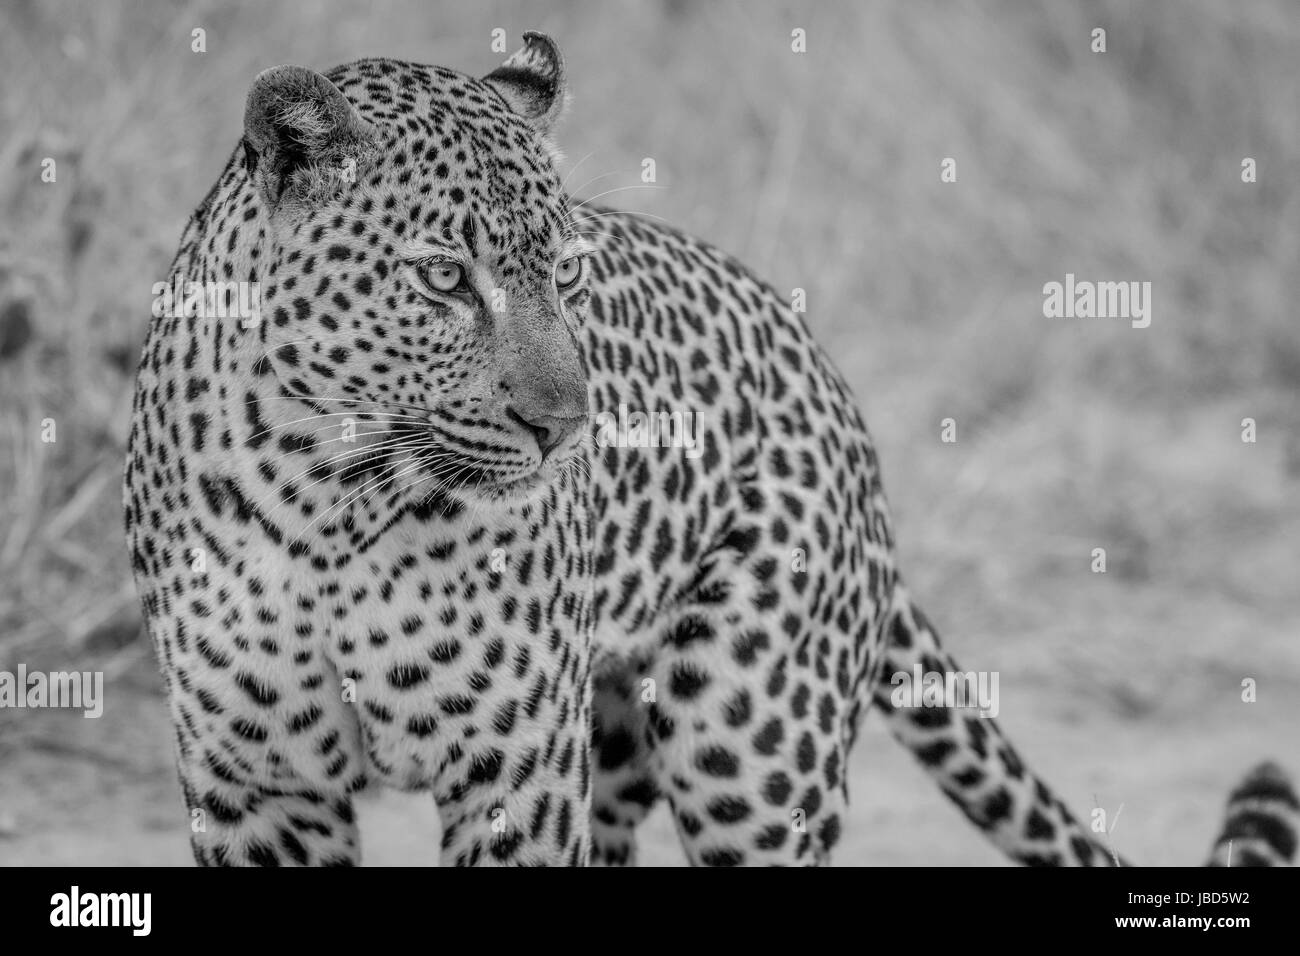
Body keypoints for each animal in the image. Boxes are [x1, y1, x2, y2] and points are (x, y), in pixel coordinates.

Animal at [123, 33, 1290, 867]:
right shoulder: (251, 781)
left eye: (569, 274)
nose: (565, 426)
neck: (327, 491)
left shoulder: (514, 771)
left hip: (747, 747)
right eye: (444, 277)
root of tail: (833, 388)